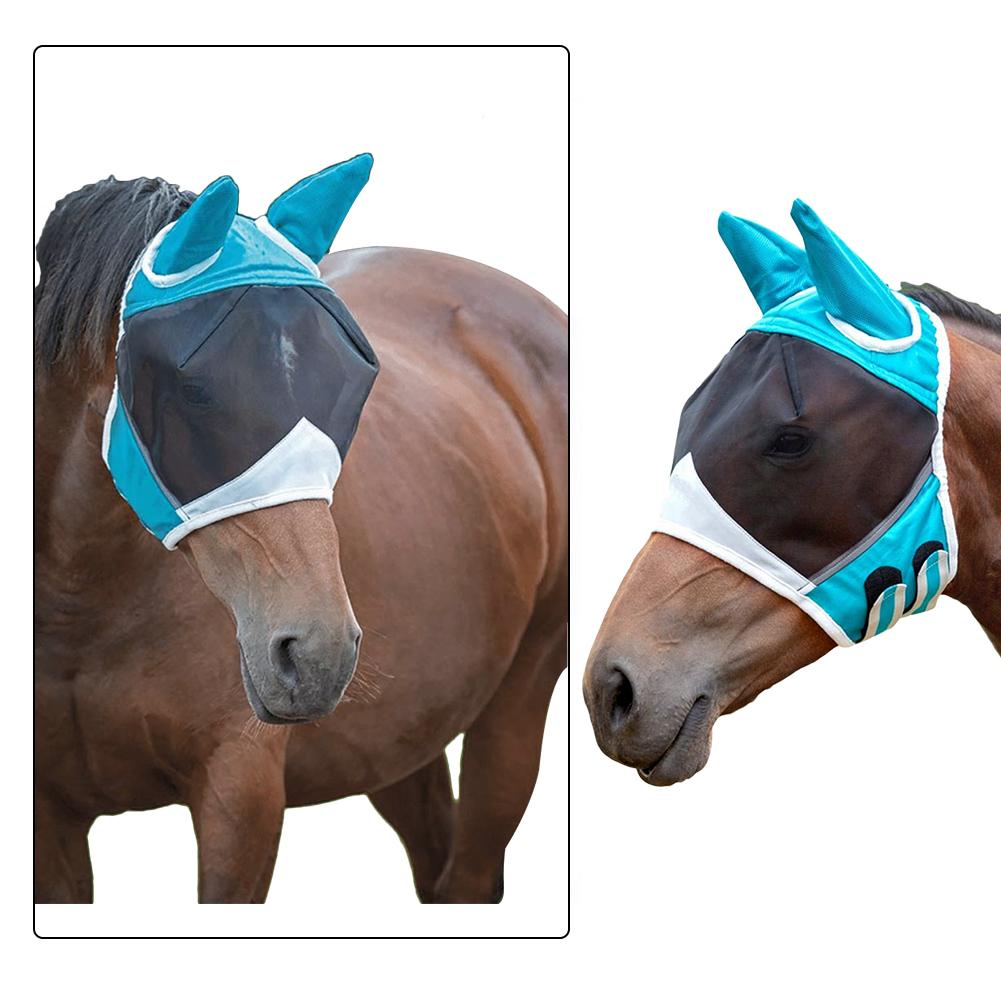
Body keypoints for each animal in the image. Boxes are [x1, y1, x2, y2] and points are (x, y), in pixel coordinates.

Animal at [35, 175, 568, 903]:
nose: (317, 651)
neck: (82, 604)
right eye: (187, 384)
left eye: (355, 379)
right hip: (400, 733)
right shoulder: (49, 820)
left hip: (518, 695)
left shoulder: (240, 791)